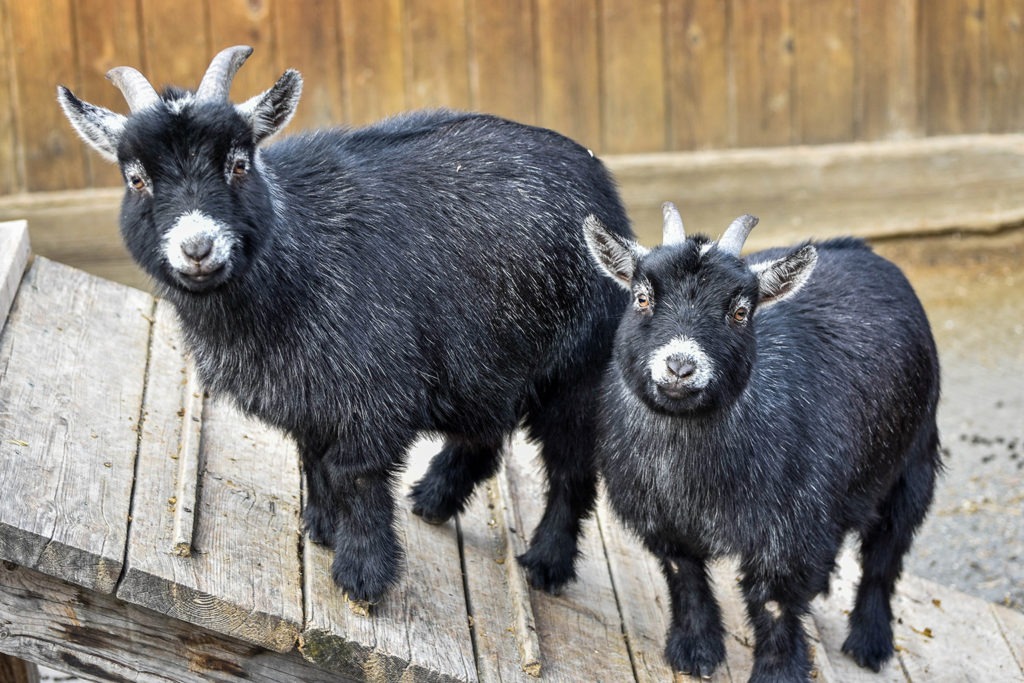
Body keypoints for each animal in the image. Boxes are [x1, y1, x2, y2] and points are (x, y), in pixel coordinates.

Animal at [57, 45, 632, 605]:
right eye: (136, 178)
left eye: (238, 164)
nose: (197, 248)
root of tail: (602, 186)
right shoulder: (309, 396)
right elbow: (313, 459)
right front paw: (322, 528)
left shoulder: (372, 395)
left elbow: (353, 475)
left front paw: (363, 574)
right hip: (491, 354)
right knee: (486, 433)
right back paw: (433, 498)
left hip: (577, 369)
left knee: (571, 470)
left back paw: (547, 563)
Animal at [585, 204, 941, 681]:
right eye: (642, 297)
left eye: (740, 312)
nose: (679, 367)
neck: (690, 483)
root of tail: (862, 250)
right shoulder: (664, 521)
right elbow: (685, 575)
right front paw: (695, 650)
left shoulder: (790, 531)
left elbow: (774, 603)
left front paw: (778, 671)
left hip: (913, 465)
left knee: (885, 555)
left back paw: (870, 642)